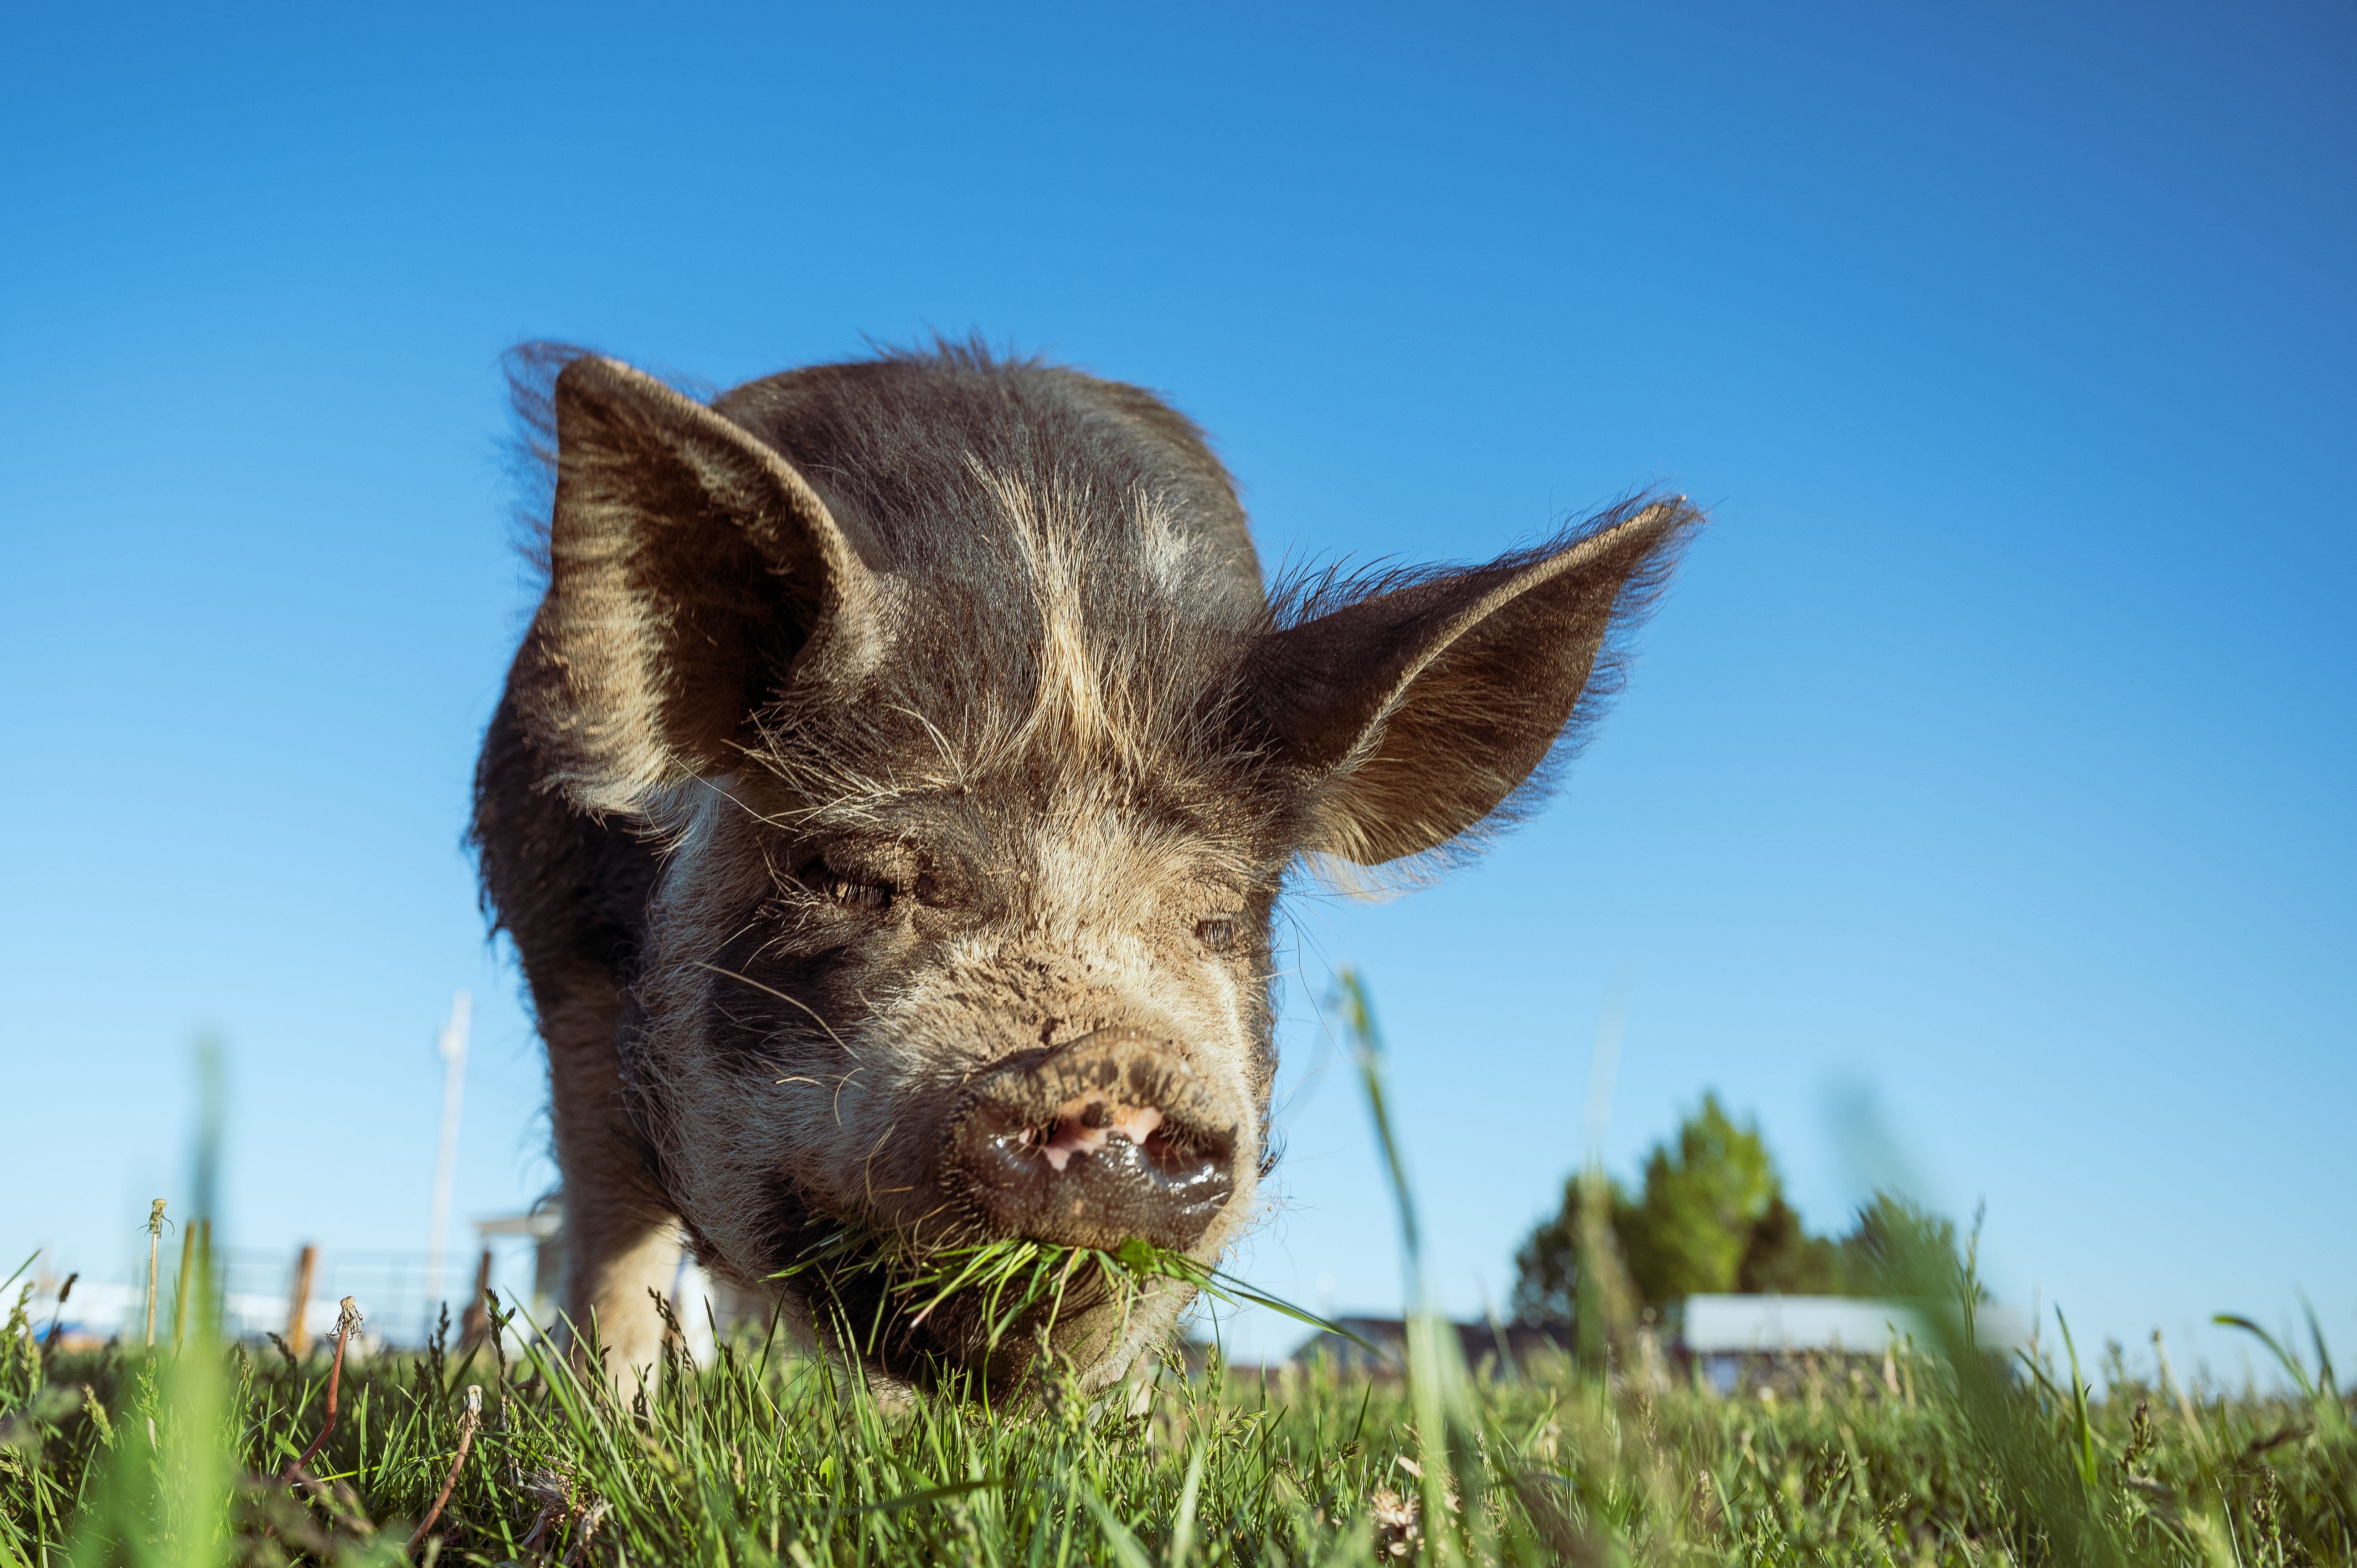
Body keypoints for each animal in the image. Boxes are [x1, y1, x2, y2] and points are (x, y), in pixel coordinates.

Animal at [470, 342, 1697, 1393]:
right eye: (852, 873)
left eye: (1219, 916)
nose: (1105, 1067)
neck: (1053, 603)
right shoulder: (567, 950)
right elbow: (610, 1232)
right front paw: (601, 1431)